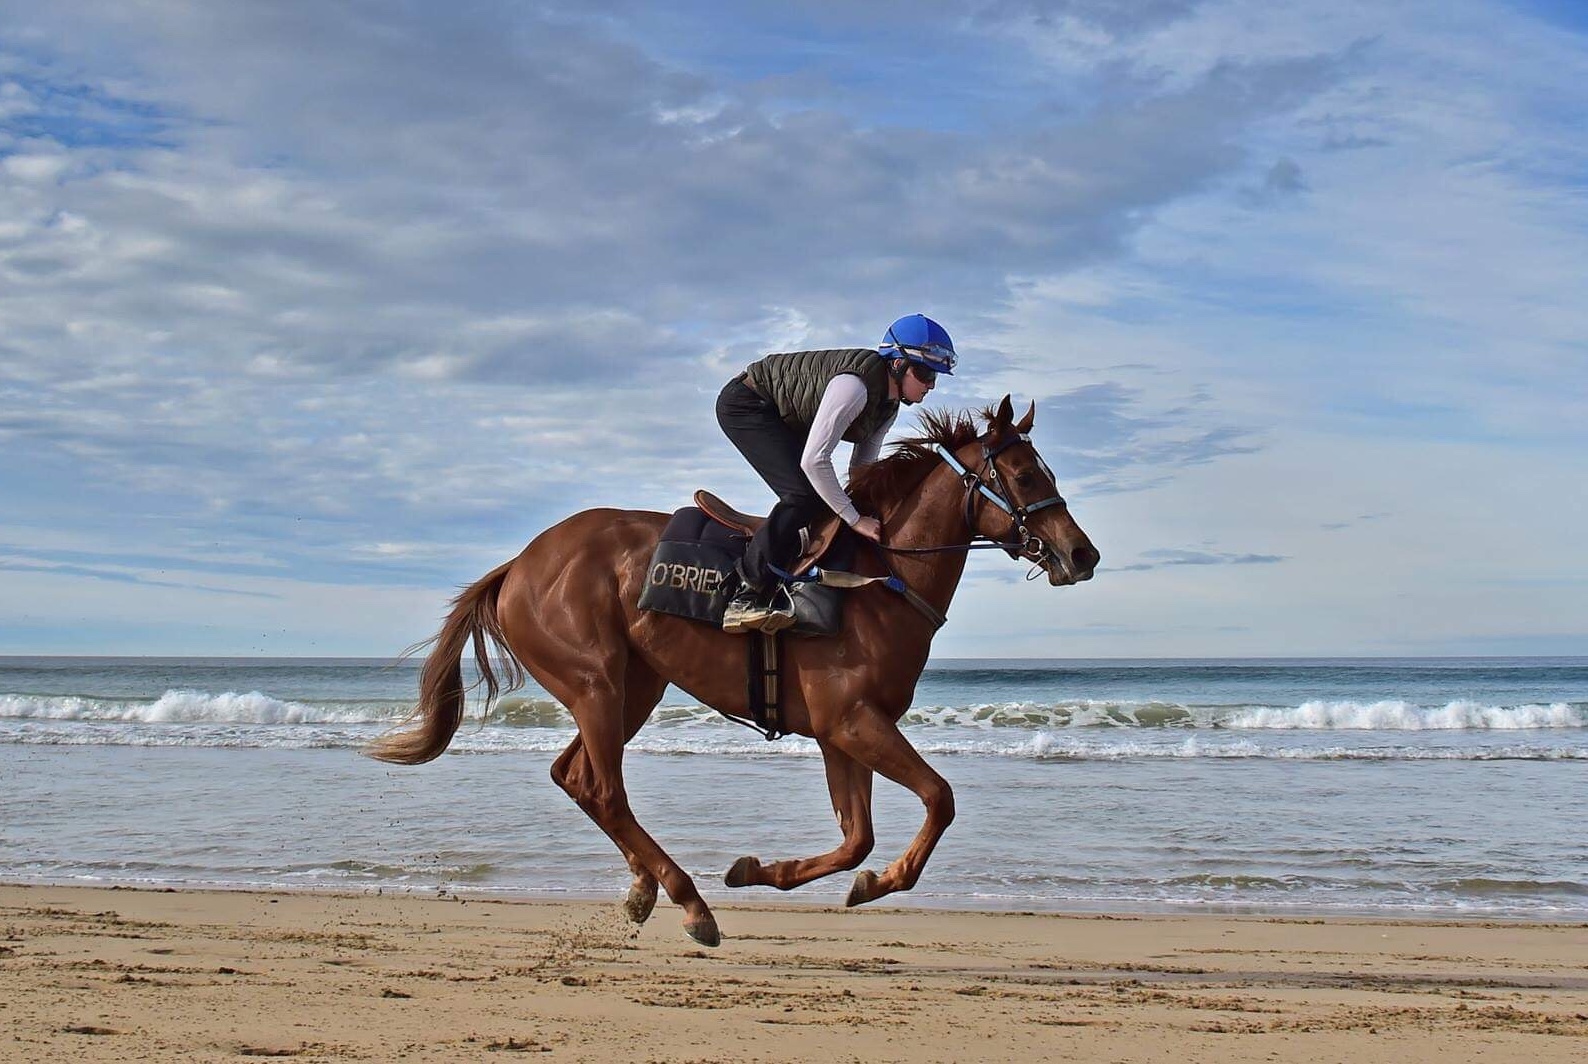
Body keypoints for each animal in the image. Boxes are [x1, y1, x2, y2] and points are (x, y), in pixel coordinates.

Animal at [369, 396, 1099, 946]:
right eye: (1026, 477)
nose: (1082, 554)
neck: (878, 576)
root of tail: (519, 564)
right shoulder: (852, 721)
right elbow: (939, 799)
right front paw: (881, 882)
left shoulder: (842, 733)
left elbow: (857, 839)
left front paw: (766, 872)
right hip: (595, 681)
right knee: (605, 789)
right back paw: (689, 902)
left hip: (636, 686)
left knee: (574, 776)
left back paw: (643, 890)